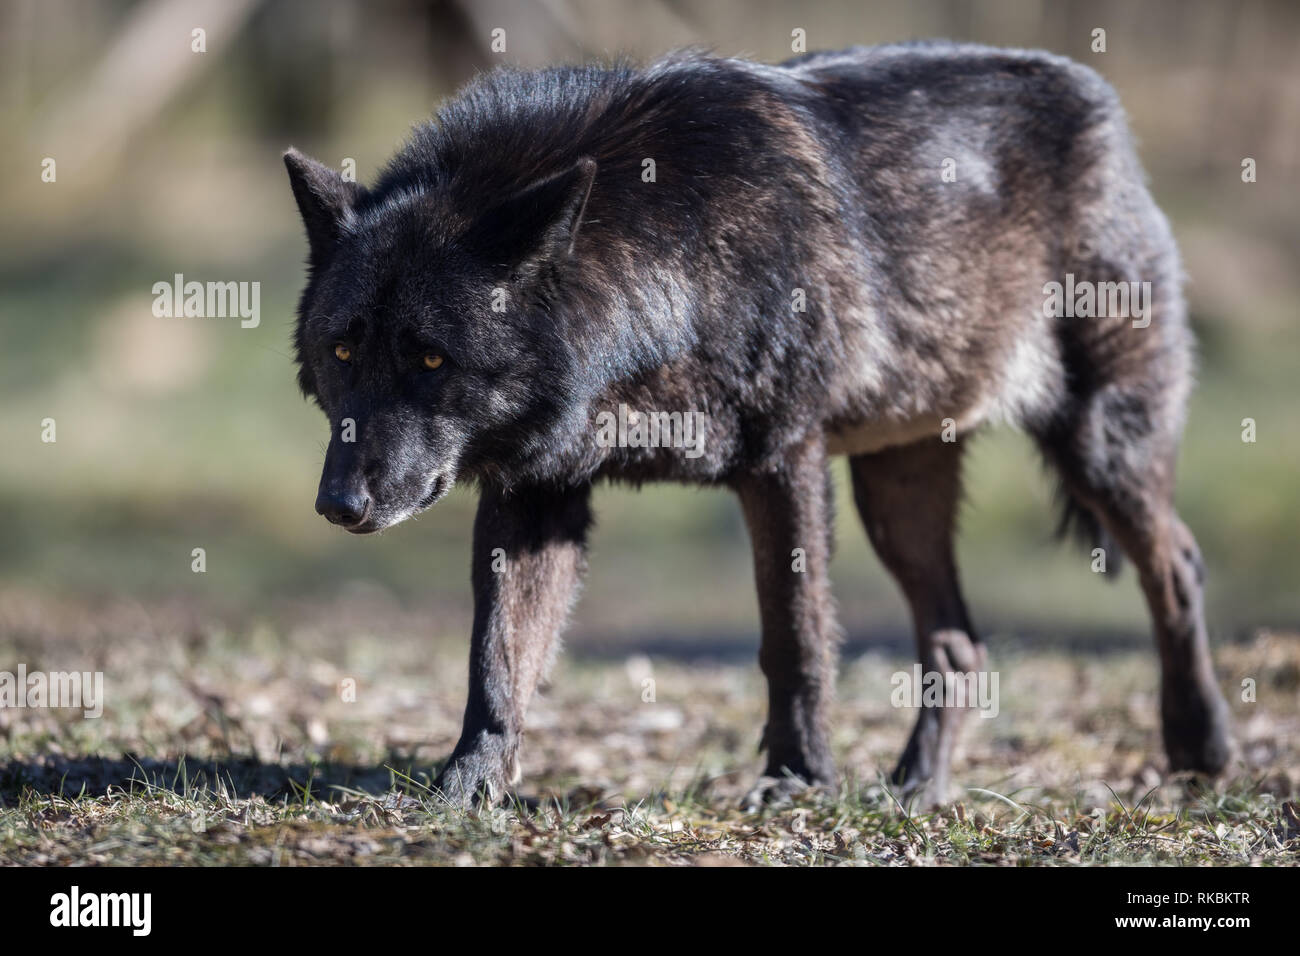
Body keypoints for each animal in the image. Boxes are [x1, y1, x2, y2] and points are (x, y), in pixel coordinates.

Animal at [284, 42, 1234, 806]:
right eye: (342, 351)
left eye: (430, 360)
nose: (338, 504)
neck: (663, 271)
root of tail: (1094, 94)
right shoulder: (536, 493)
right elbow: (496, 659)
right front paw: (464, 788)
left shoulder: (785, 462)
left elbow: (796, 639)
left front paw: (798, 778)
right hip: (899, 497)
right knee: (960, 645)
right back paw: (915, 789)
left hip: (1099, 447)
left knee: (1179, 565)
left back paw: (1202, 746)